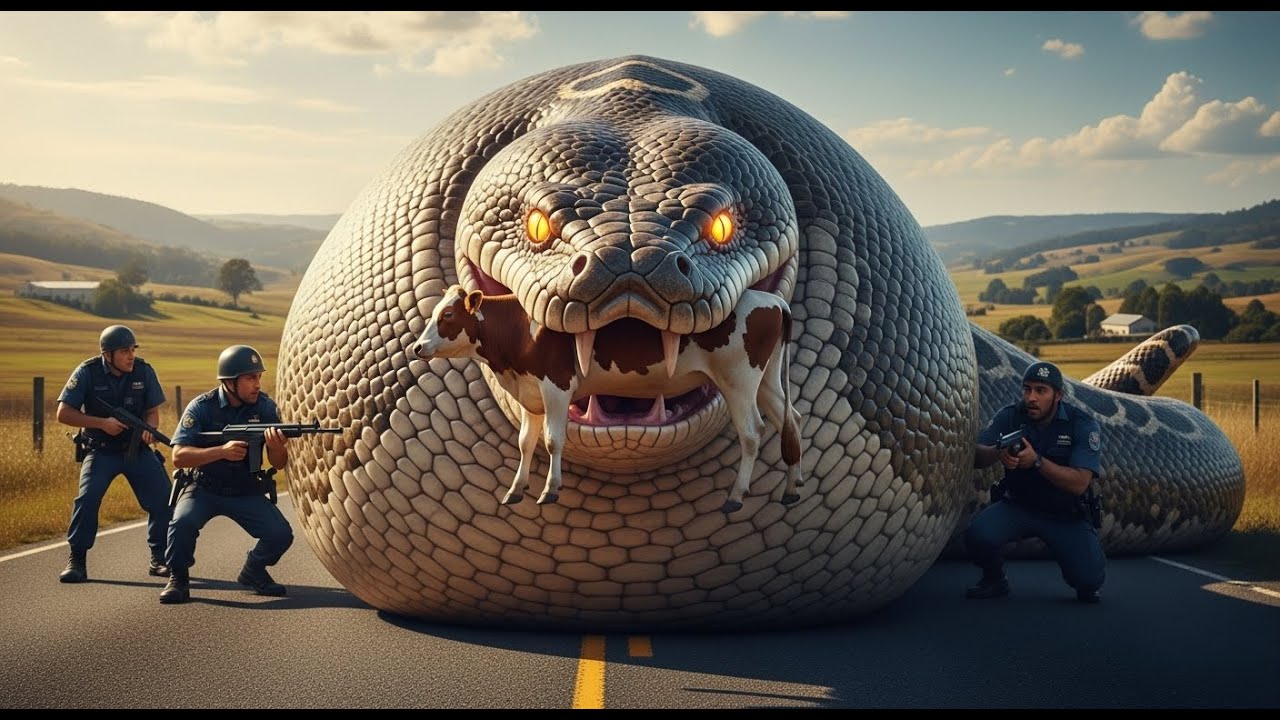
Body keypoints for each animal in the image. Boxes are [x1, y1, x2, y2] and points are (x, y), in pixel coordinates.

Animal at [410, 284, 804, 514]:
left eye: (447, 314)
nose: (416, 347)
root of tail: (773, 299)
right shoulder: (530, 394)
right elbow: (525, 443)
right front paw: (514, 491)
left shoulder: (556, 386)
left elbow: (553, 441)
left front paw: (550, 491)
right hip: (767, 378)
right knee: (792, 420)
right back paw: (792, 489)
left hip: (739, 380)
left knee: (752, 432)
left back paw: (736, 496)